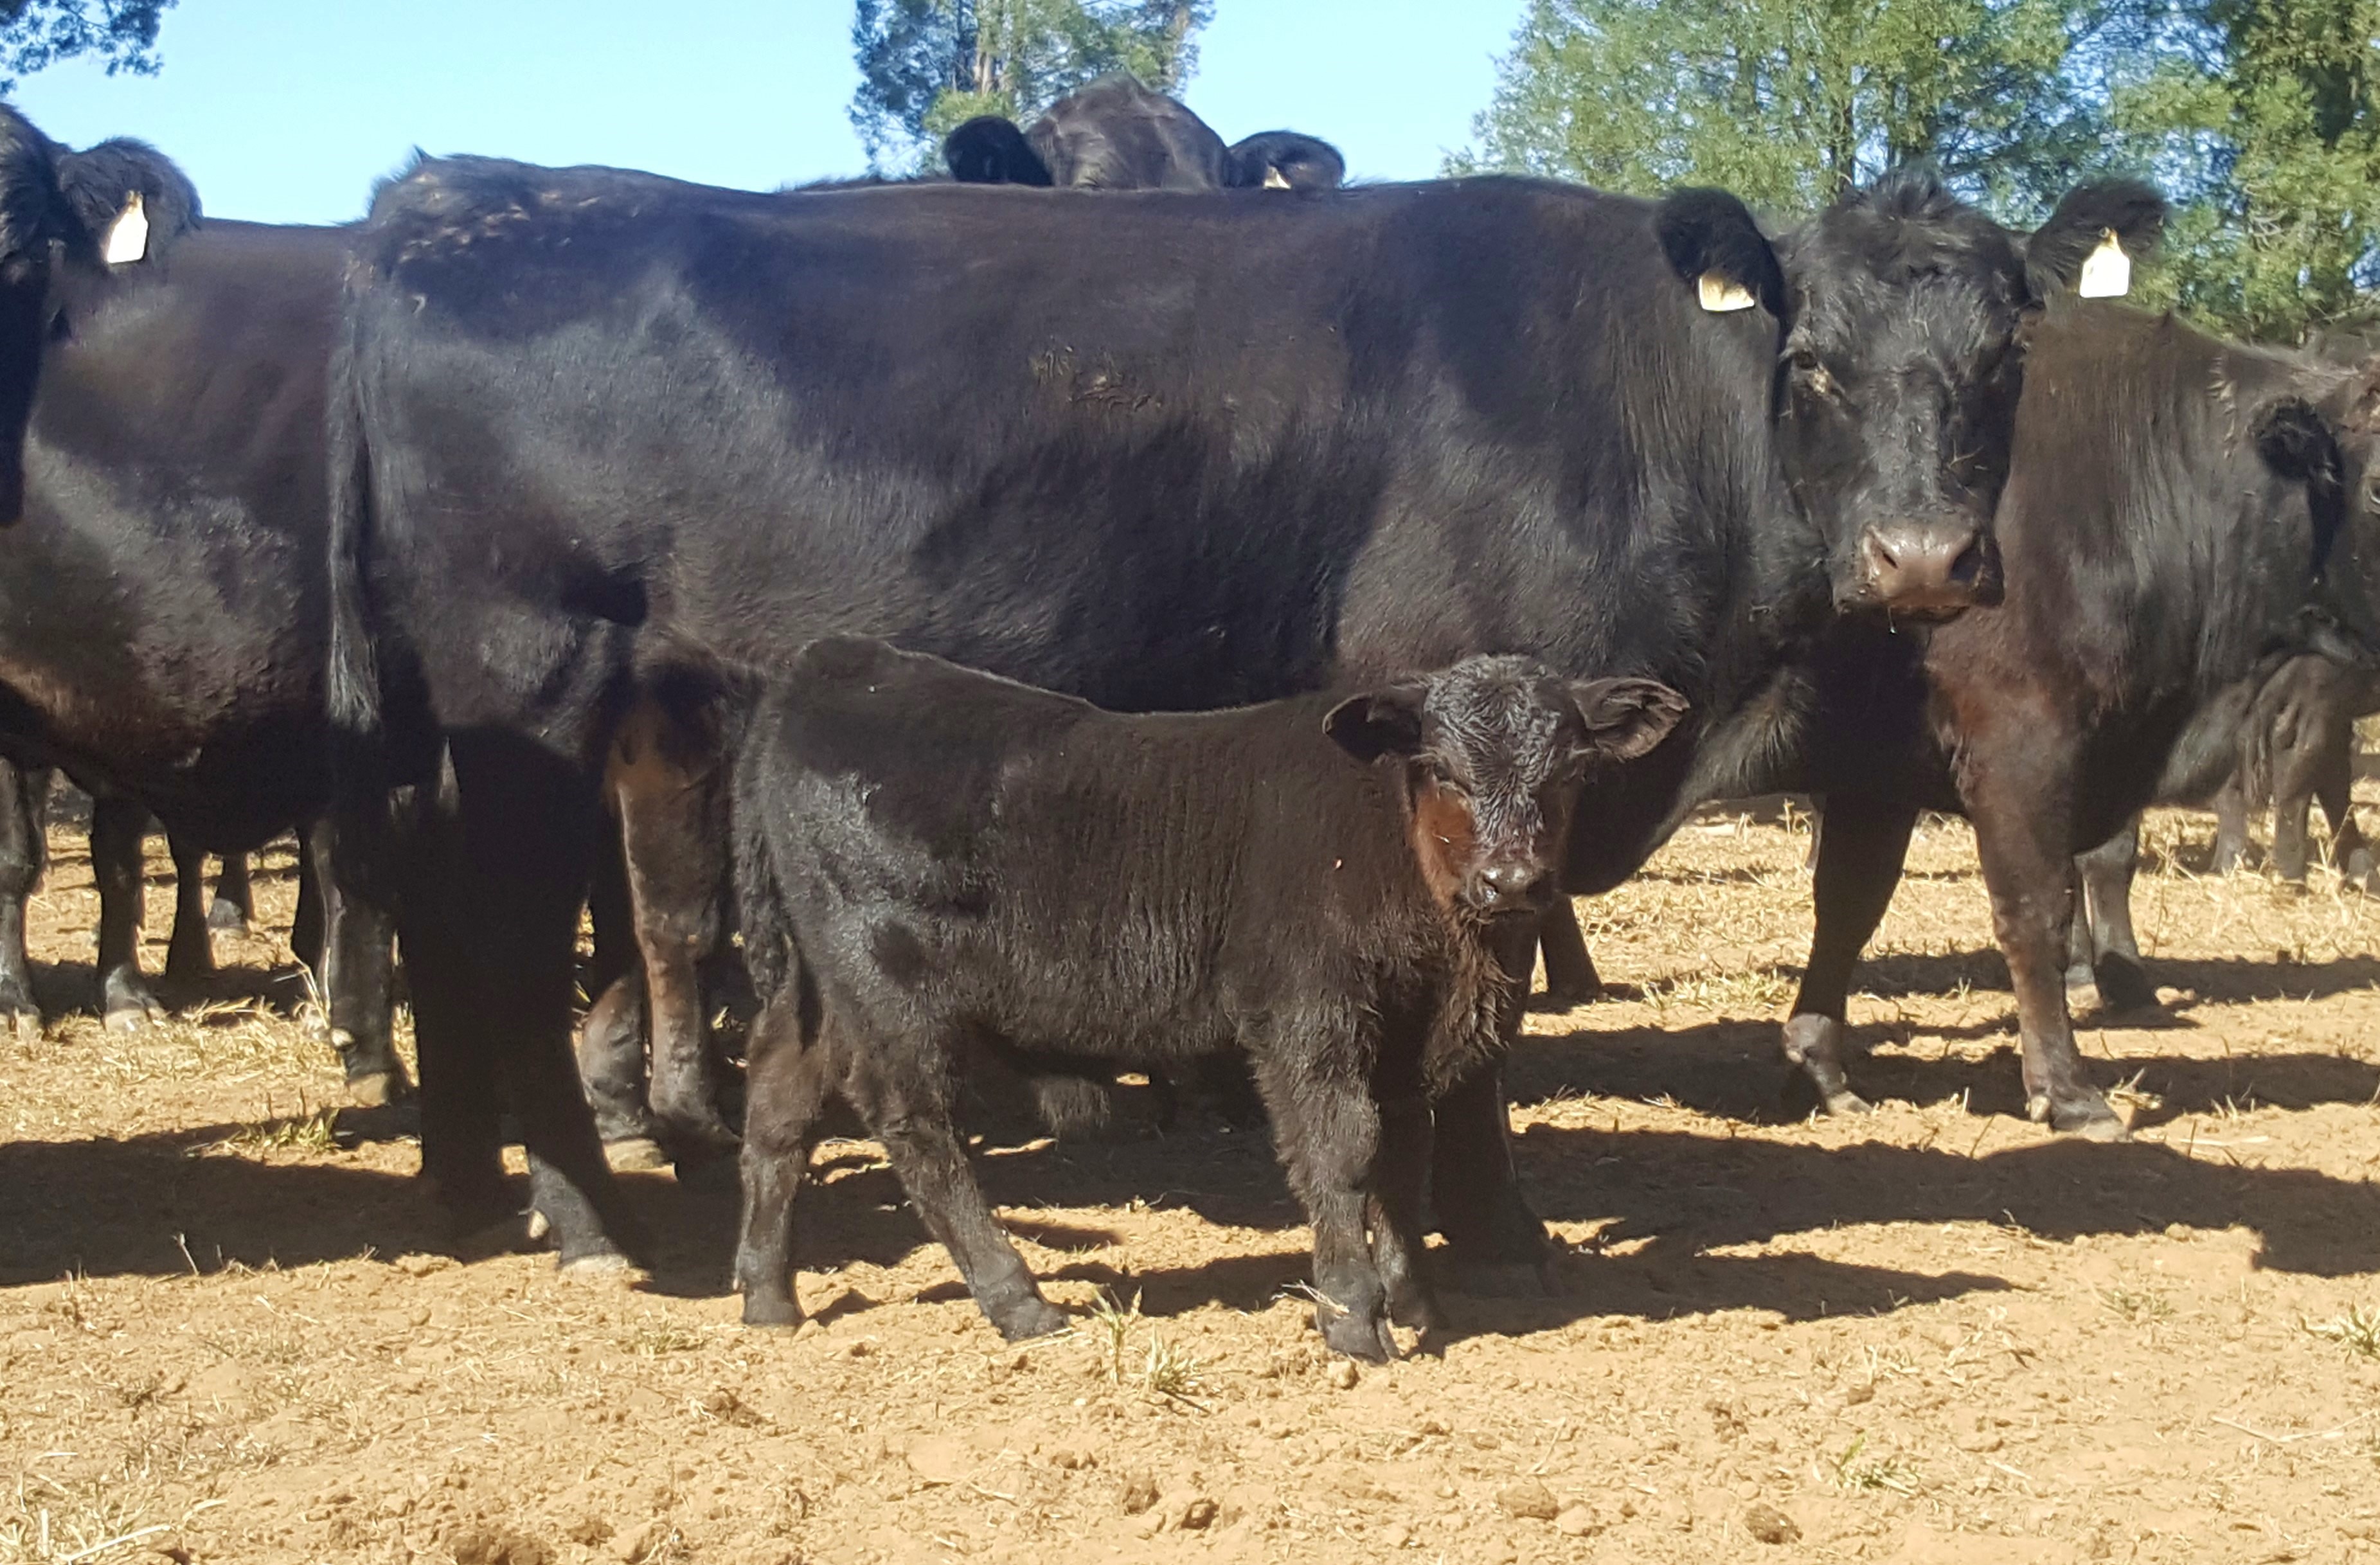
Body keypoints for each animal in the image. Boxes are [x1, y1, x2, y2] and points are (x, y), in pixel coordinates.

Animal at [326, 153, 2159, 1274]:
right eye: (1816, 363)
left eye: (2007, 358)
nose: (1921, 557)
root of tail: (459, 202)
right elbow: (1483, 1008)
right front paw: (1490, 1222)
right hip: (524, 684)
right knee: (498, 945)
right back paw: (588, 1215)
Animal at [730, 639, 1688, 1353]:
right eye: (1441, 768)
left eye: (1569, 769)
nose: (1512, 879)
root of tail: (833, 662)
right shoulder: (1308, 1011)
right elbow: (1342, 1148)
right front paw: (1352, 1313)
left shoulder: (1406, 1036)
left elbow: (1399, 1156)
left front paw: (1412, 1298)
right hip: (887, 984)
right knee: (915, 1126)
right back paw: (1019, 1299)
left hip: (818, 988)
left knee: (780, 1105)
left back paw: (769, 1295)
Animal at [1777, 305, 2380, 1129]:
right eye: (2378, 486)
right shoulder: (2021, 743)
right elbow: (2035, 908)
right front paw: (2065, 1088)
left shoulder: (1883, 770)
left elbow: (1849, 901)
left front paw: (1821, 1062)